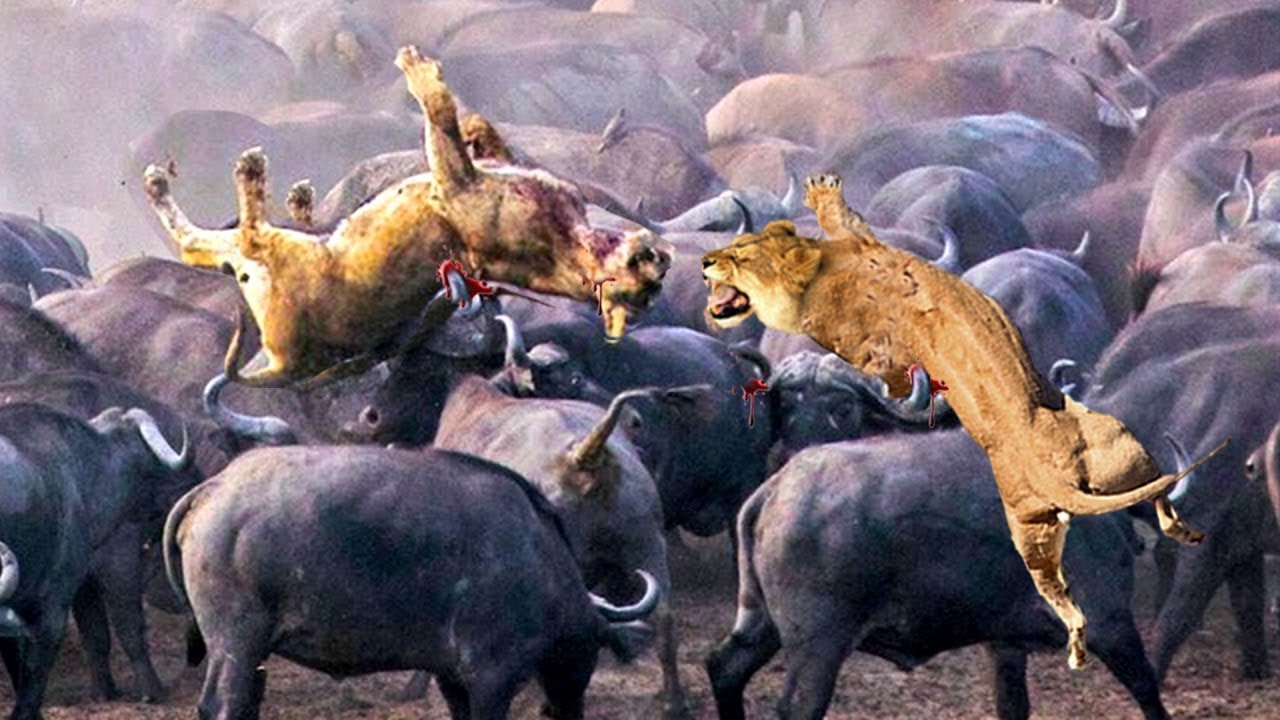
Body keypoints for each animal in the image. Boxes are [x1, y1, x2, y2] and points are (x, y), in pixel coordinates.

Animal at [141, 45, 672, 389]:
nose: (659, 257)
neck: (575, 243)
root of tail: (287, 366)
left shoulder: (455, 186)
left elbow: (439, 115)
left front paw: (419, 70)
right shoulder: (481, 175)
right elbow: (476, 136)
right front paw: (475, 128)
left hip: (280, 257)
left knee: (226, 236)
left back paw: (233, 175)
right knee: (210, 243)